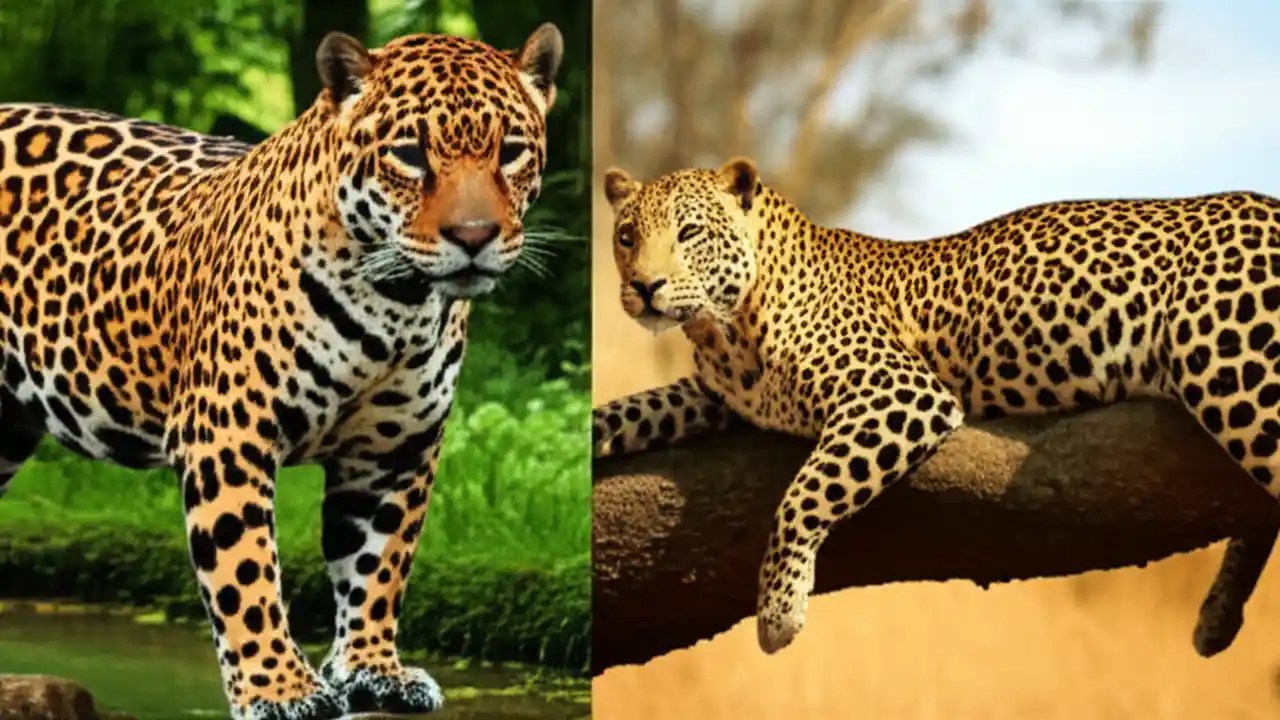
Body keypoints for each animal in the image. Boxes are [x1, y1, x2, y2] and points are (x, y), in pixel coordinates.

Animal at [0, 23, 562, 720]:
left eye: (510, 152)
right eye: (409, 154)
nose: (475, 236)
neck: (397, 305)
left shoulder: (395, 452)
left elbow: (380, 564)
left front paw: (374, 670)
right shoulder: (227, 437)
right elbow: (246, 574)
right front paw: (280, 689)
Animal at [594, 157, 1280, 660]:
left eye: (690, 233)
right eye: (626, 237)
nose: (644, 288)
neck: (724, 329)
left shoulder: (900, 391)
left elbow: (801, 496)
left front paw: (779, 611)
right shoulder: (715, 398)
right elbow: (627, 411)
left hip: (1228, 367)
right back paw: (1218, 617)